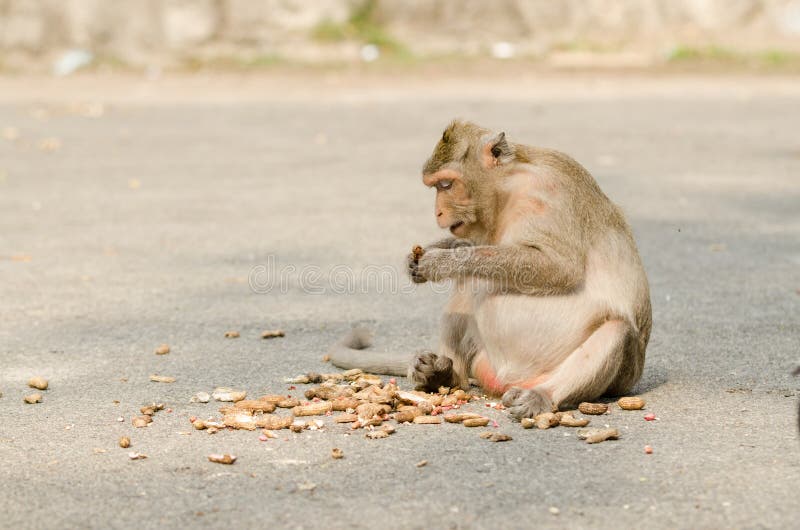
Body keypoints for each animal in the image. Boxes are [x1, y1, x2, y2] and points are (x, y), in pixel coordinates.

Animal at [330, 120, 652, 419]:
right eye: (435, 187)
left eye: (445, 185)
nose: (437, 212)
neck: (508, 189)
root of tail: (509, 378)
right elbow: (474, 247)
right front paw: (421, 257)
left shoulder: (548, 193)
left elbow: (559, 267)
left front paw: (440, 262)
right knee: (467, 288)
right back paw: (444, 375)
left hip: (613, 376)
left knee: (617, 330)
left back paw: (542, 395)